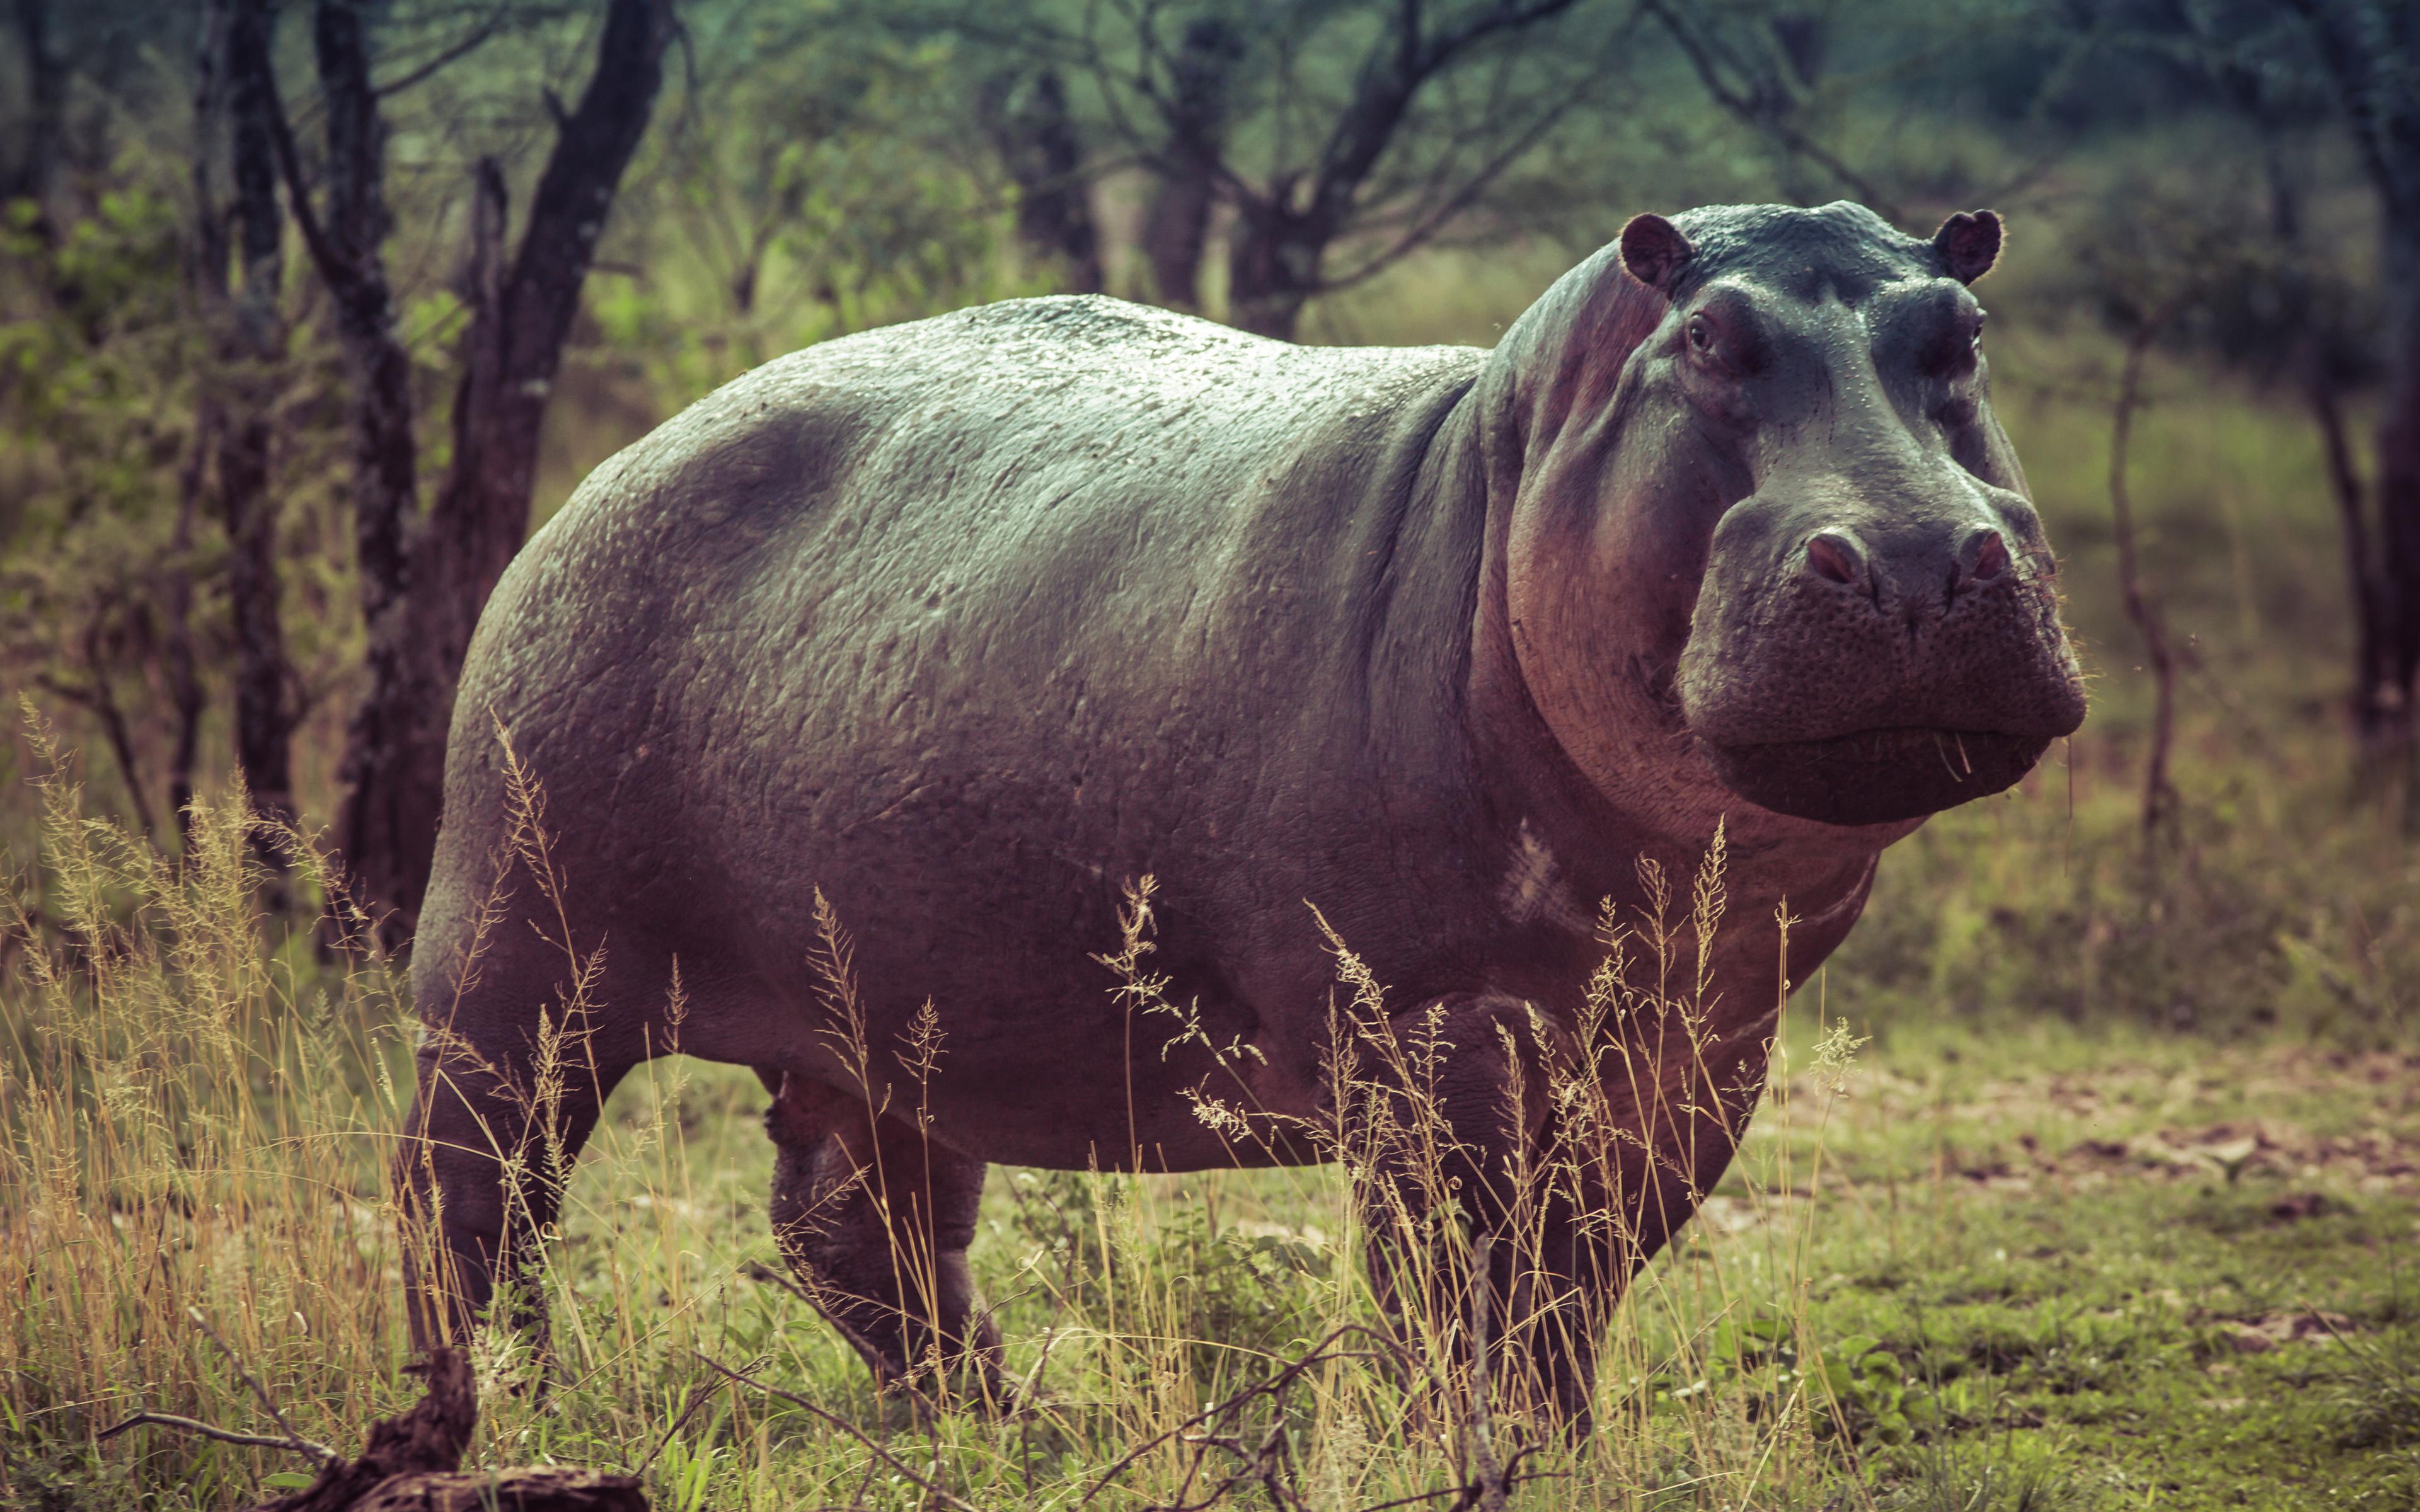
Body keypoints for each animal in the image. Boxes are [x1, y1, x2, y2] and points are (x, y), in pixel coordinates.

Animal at [399, 200, 2085, 1422]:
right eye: (1710, 339)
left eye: (1964, 336)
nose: (1916, 554)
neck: (1508, 463)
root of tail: (620, 460)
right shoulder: (1429, 1036)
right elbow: (1455, 1295)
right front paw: (1466, 1453)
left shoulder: (1701, 1047)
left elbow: (1568, 1298)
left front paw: (1554, 1445)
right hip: (514, 954)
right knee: (466, 1197)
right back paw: (489, 1416)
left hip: (882, 1016)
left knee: (858, 1228)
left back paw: (1007, 1431)